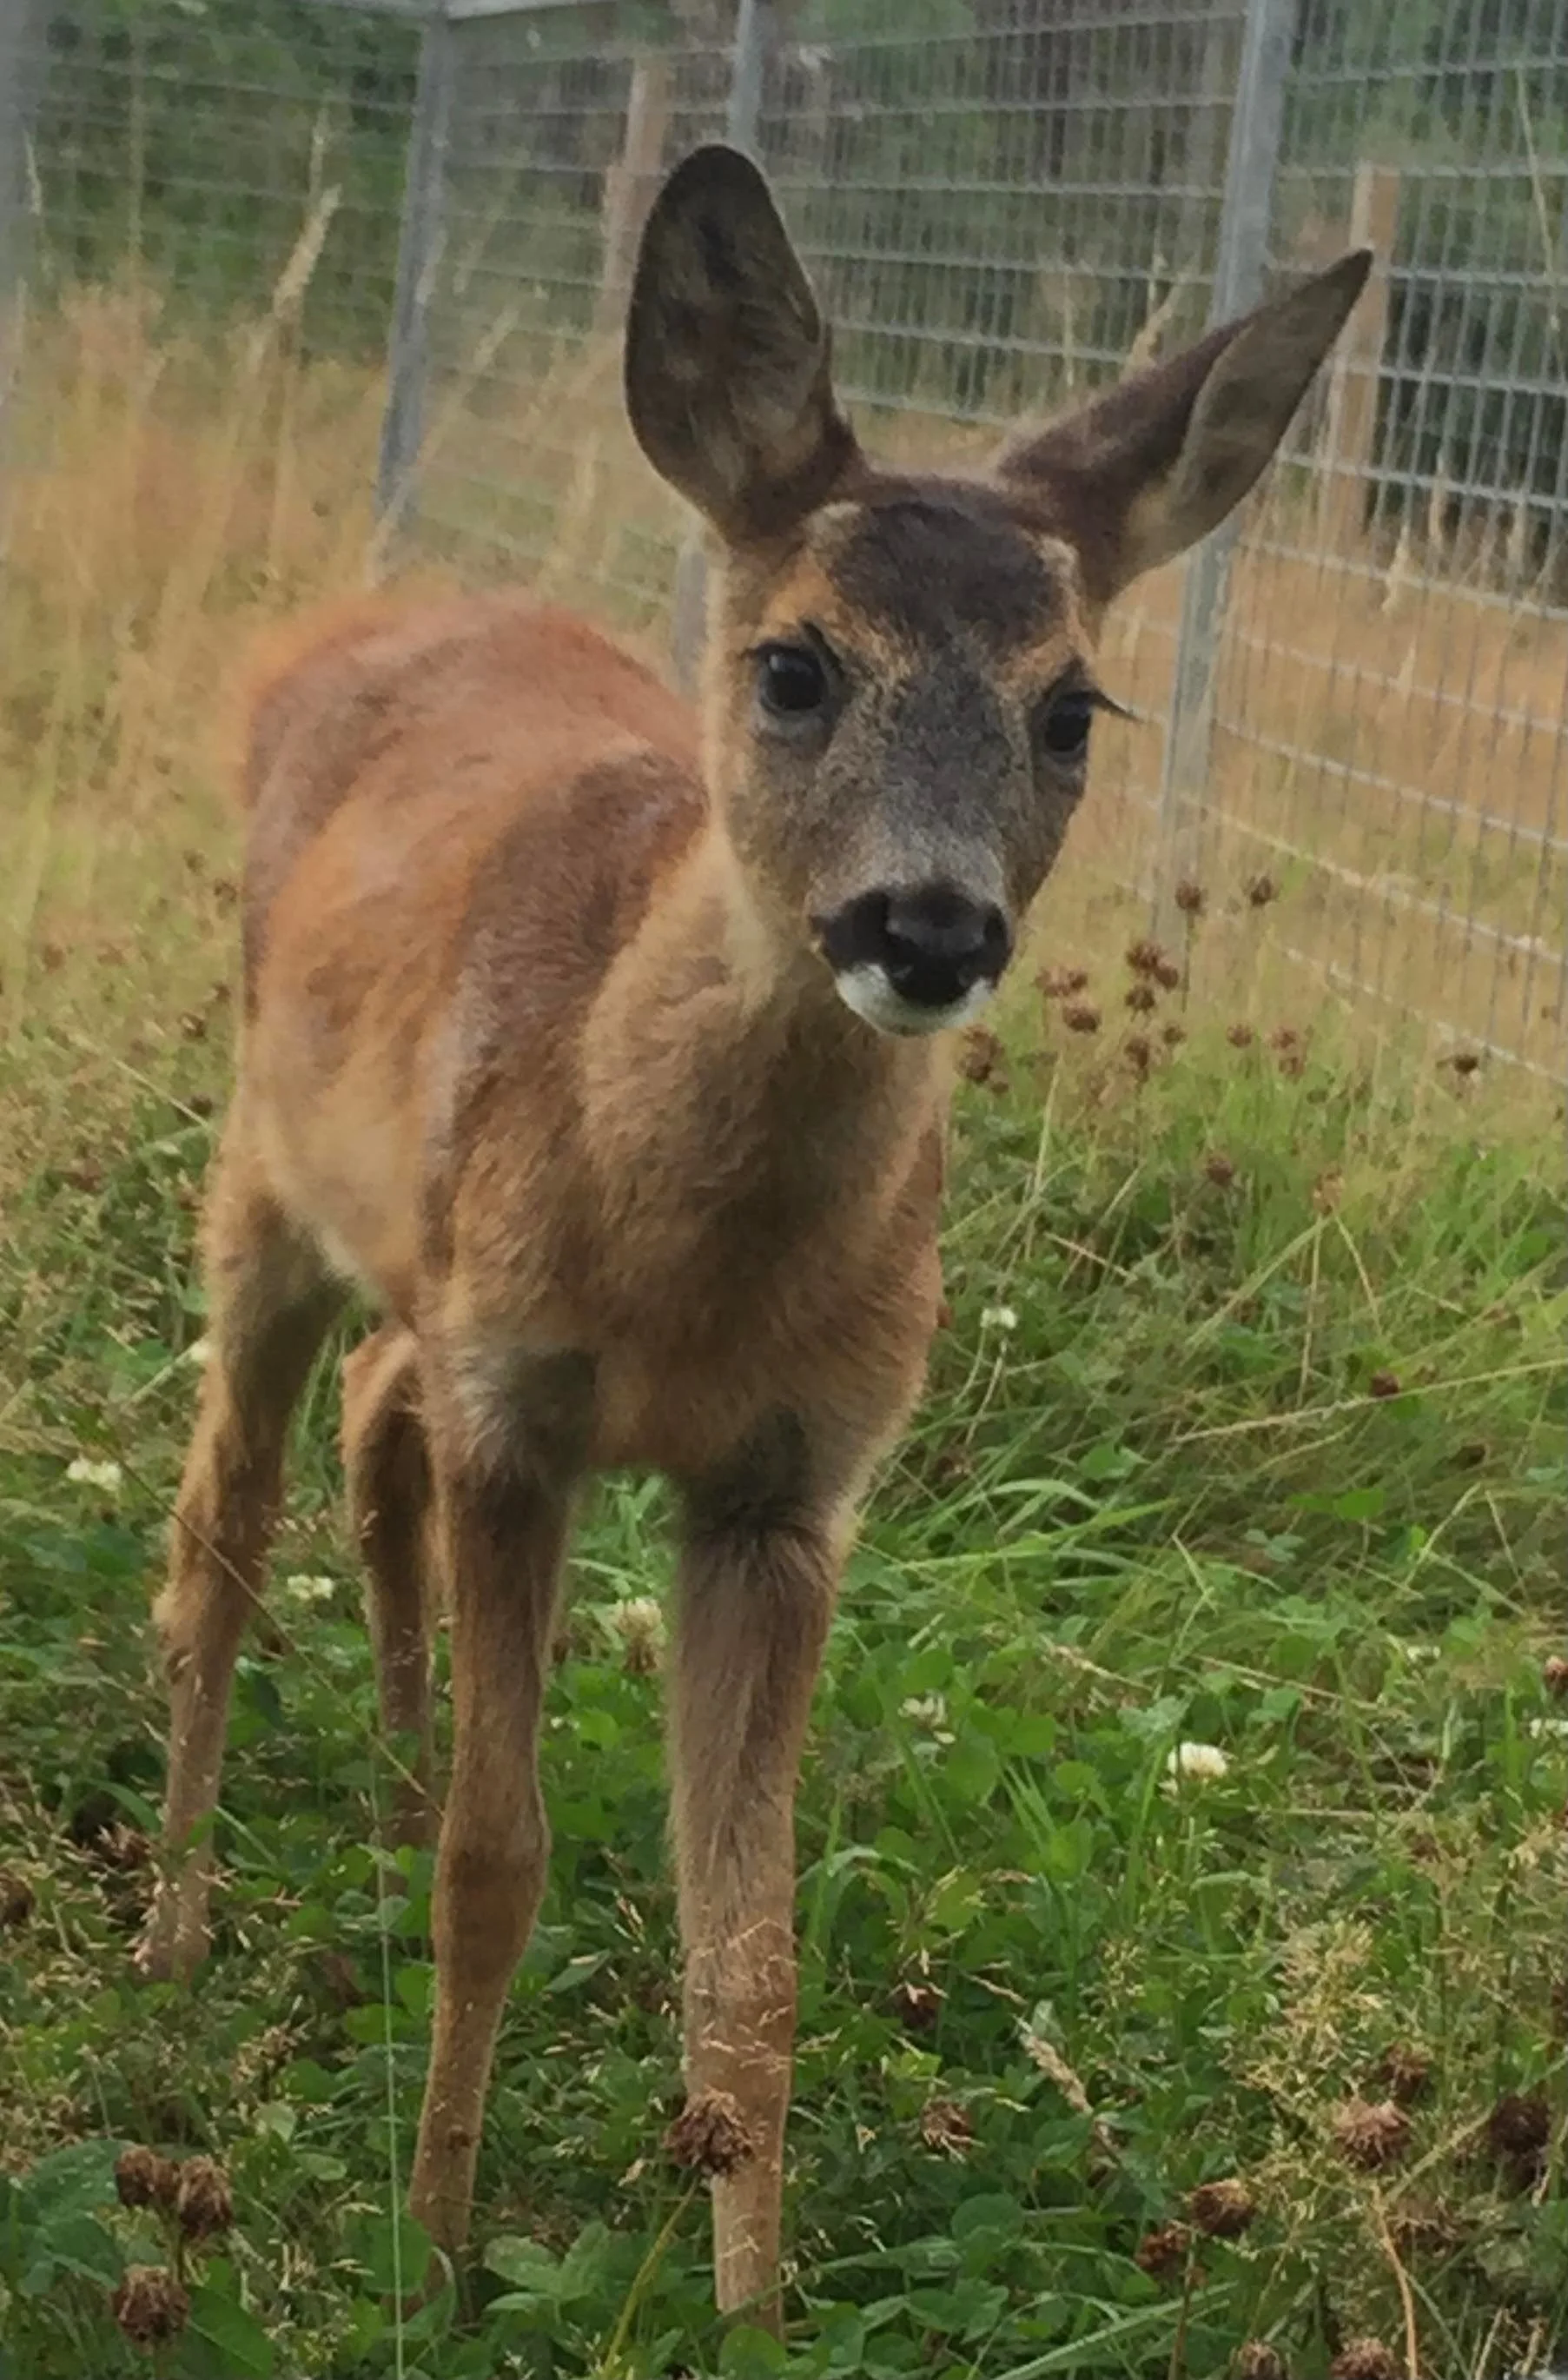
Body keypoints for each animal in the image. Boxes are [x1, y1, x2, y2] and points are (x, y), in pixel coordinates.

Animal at [136, 142, 1370, 2329]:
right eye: (794, 666)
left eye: (1071, 707)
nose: (927, 924)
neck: (677, 1282)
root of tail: (344, 631)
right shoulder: (521, 1408)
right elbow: (498, 1864)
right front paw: (433, 2249)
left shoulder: (790, 1485)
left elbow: (754, 1946)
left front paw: (750, 2300)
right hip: (264, 1178)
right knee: (221, 1525)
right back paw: (181, 1929)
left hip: (411, 1263)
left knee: (368, 1419)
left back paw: (379, 1763)